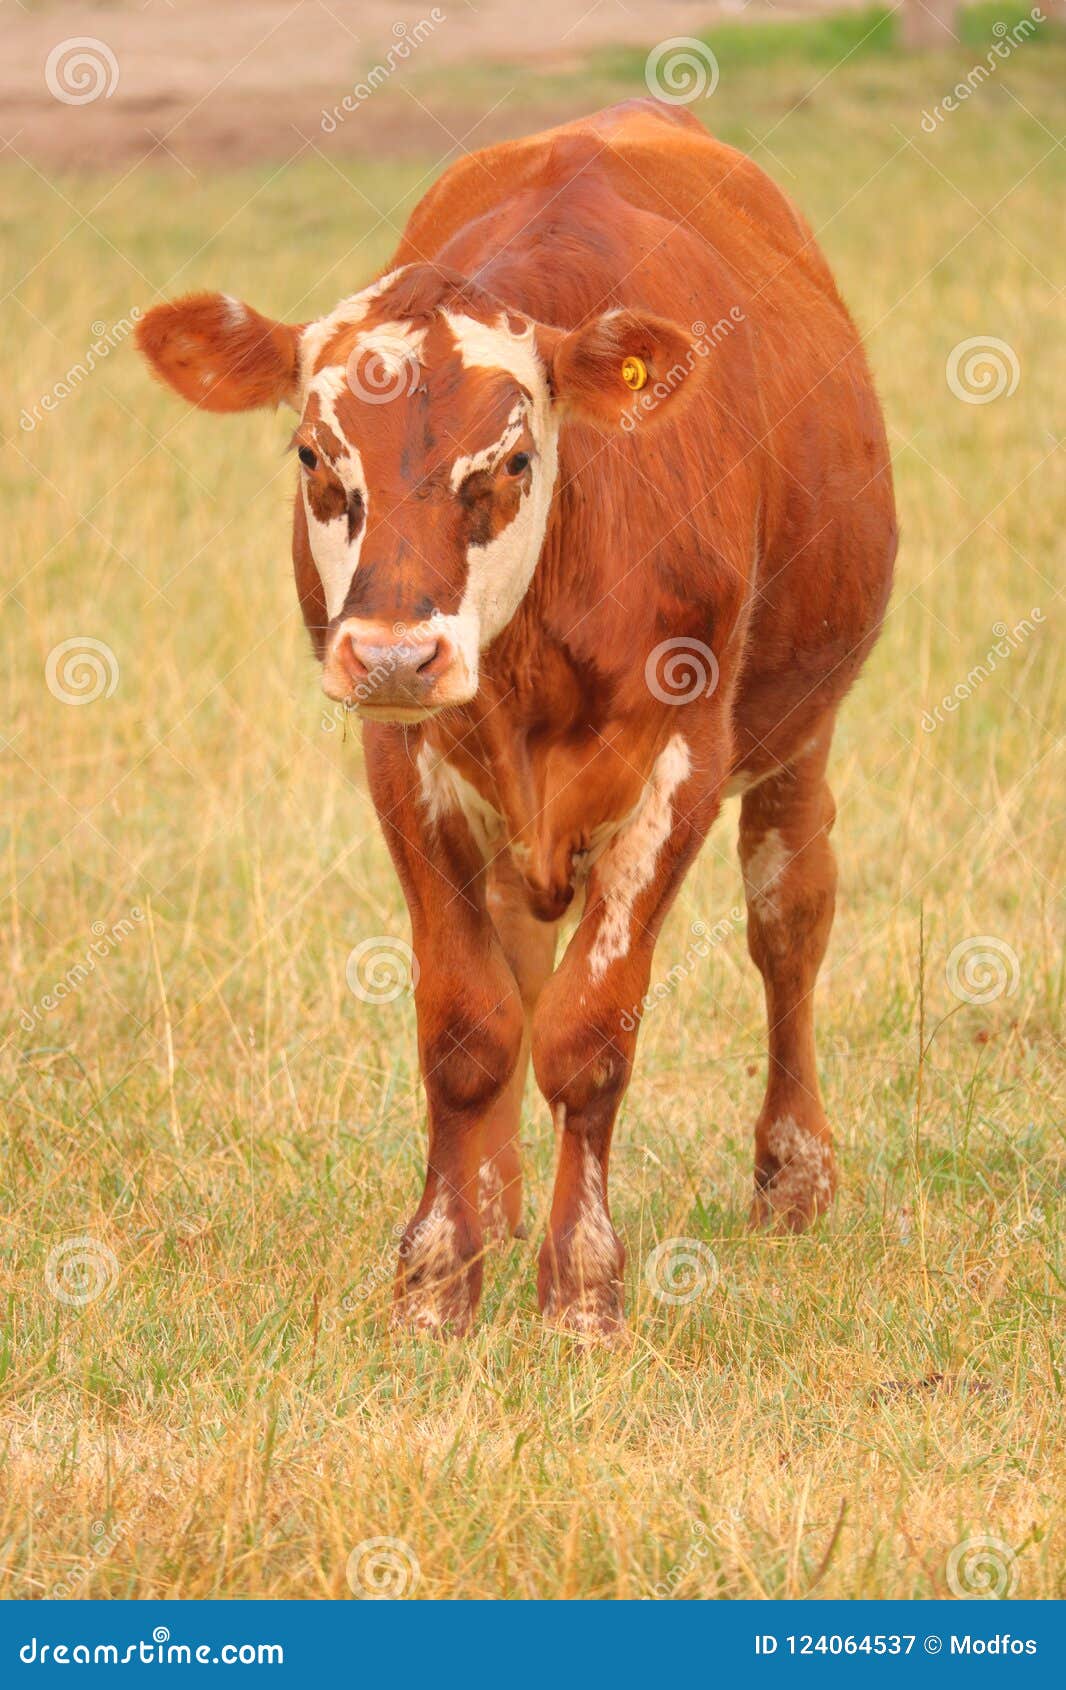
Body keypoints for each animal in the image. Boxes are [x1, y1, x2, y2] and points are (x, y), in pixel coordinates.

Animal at [137, 99, 896, 1339]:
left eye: (511, 458)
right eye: (314, 454)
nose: (396, 651)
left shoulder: (685, 762)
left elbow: (590, 1032)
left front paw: (582, 1287)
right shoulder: (403, 757)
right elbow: (469, 1023)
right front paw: (440, 1272)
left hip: (799, 737)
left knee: (788, 921)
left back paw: (793, 1175)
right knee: (519, 960)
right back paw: (493, 1198)